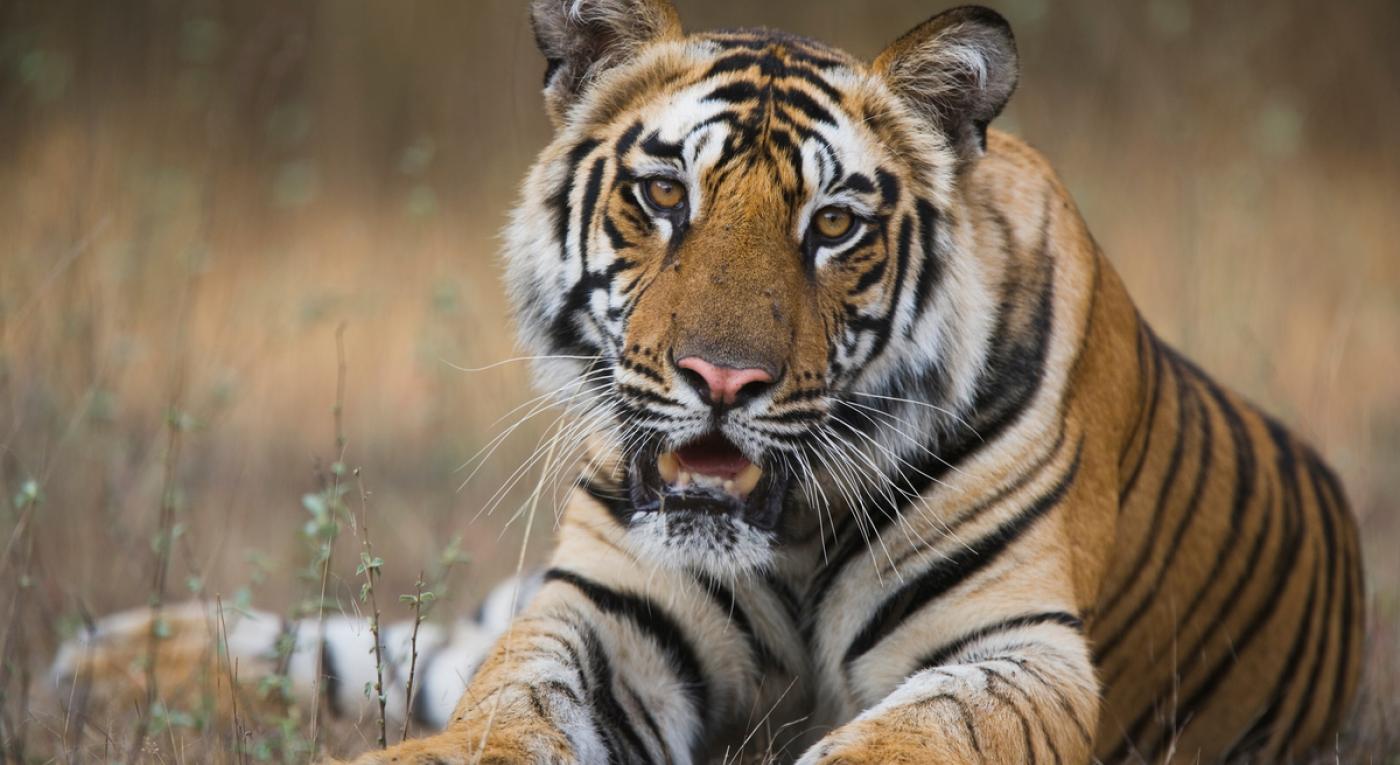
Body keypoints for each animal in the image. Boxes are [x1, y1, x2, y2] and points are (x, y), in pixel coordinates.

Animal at [52, 2, 1365, 763]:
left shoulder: (1018, 651)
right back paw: (105, 660)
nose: (721, 378)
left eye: (832, 225)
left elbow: (902, 742)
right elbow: (500, 707)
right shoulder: (601, 607)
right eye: (664, 194)